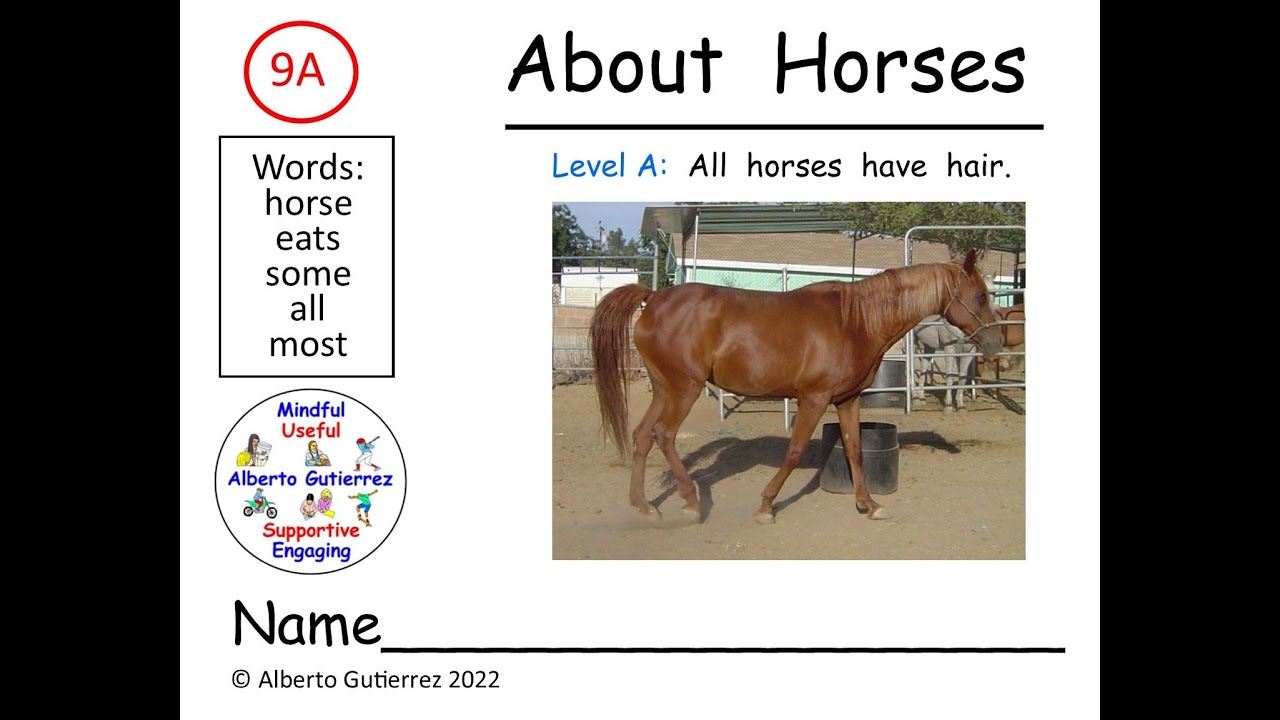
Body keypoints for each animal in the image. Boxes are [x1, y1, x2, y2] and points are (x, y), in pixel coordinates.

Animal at [590, 249, 1002, 524]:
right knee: (663, 435)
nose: (995, 343)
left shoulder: (847, 400)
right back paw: (691, 501)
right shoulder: (814, 399)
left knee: (642, 436)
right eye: (980, 295)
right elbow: (794, 451)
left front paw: (869, 505)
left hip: (664, 390)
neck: (855, 321)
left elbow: (855, 451)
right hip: (684, 390)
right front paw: (766, 506)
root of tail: (655, 298)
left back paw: (643, 504)